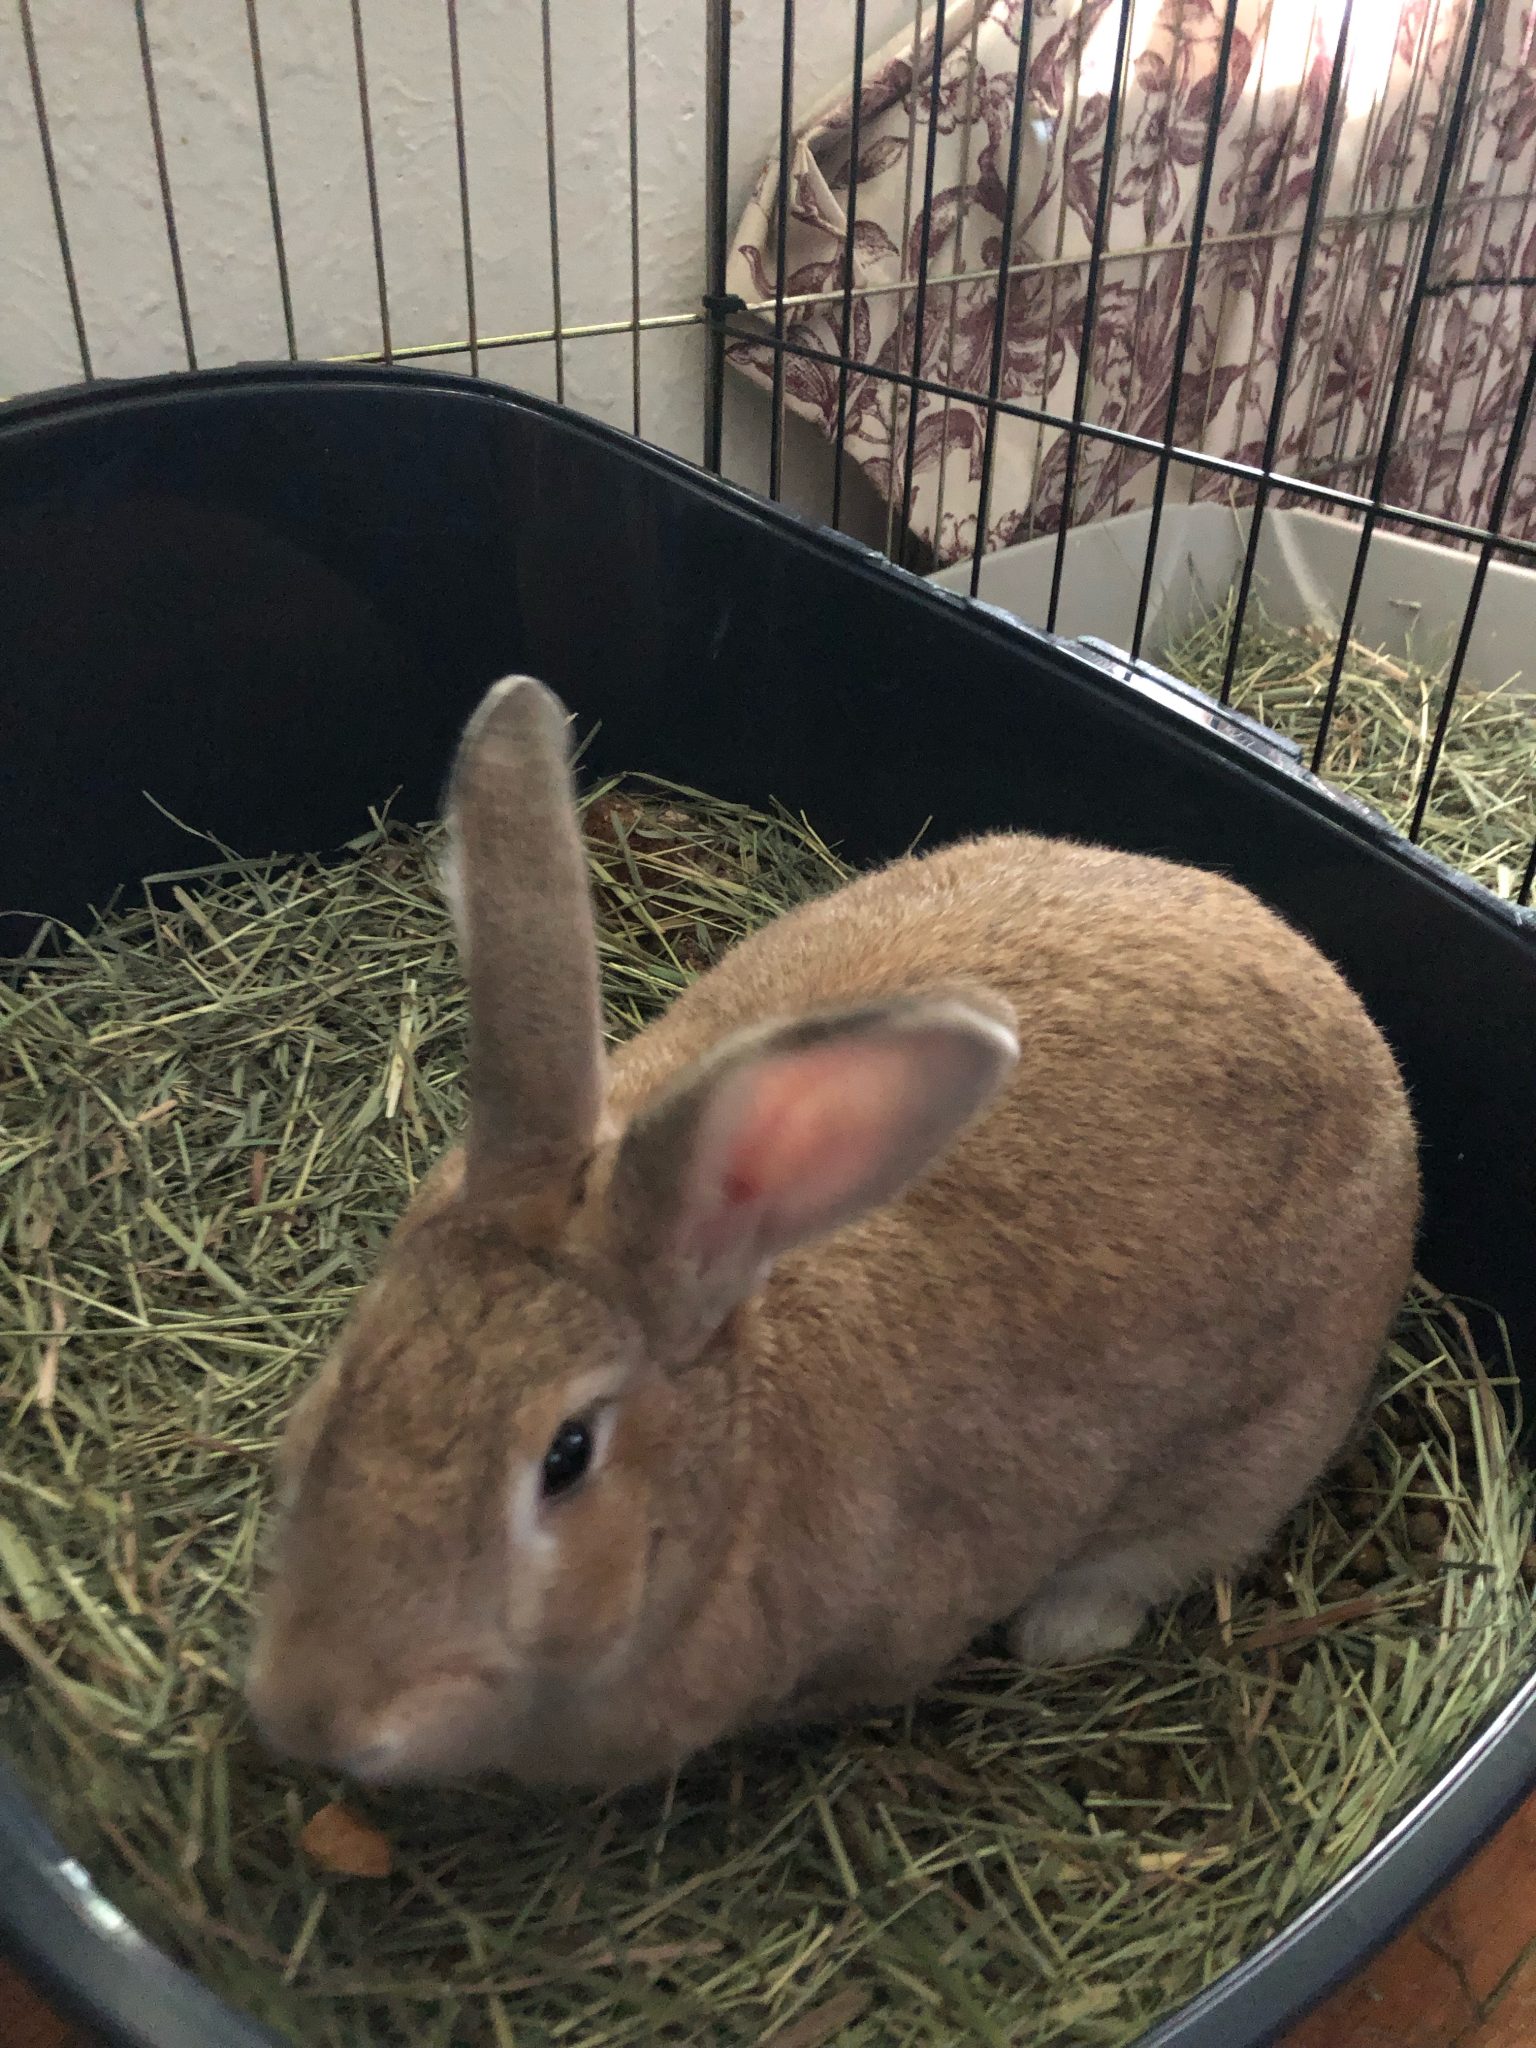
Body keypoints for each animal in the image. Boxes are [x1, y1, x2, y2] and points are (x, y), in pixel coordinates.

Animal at [245, 674, 1420, 1792]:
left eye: (568, 1458)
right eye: (356, 1364)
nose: (314, 1716)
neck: (736, 1477)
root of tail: (1357, 1023)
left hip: (1257, 1448)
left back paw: (1063, 1626)